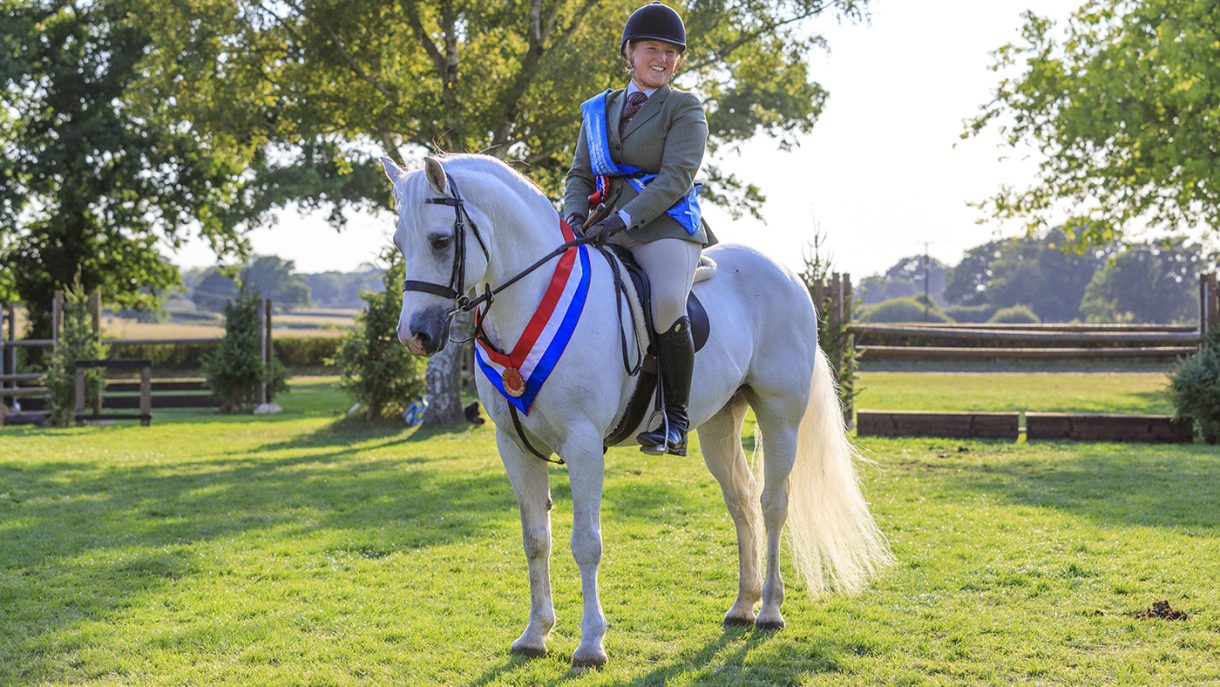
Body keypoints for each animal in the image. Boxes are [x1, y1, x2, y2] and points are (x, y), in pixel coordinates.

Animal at [380, 153, 893, 669]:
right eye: (399, 242)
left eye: (441, 240)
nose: (414, 336)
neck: (533, 299)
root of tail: (788, 274)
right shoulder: (514, 447)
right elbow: (535, 539)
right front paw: (535, 634)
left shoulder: (584, 444)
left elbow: (586, 544)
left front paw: (590, 644)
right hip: (719, 423)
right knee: (741, 499)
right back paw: (742, 606)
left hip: (779, 416)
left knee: (772, 504)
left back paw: (769, 610)